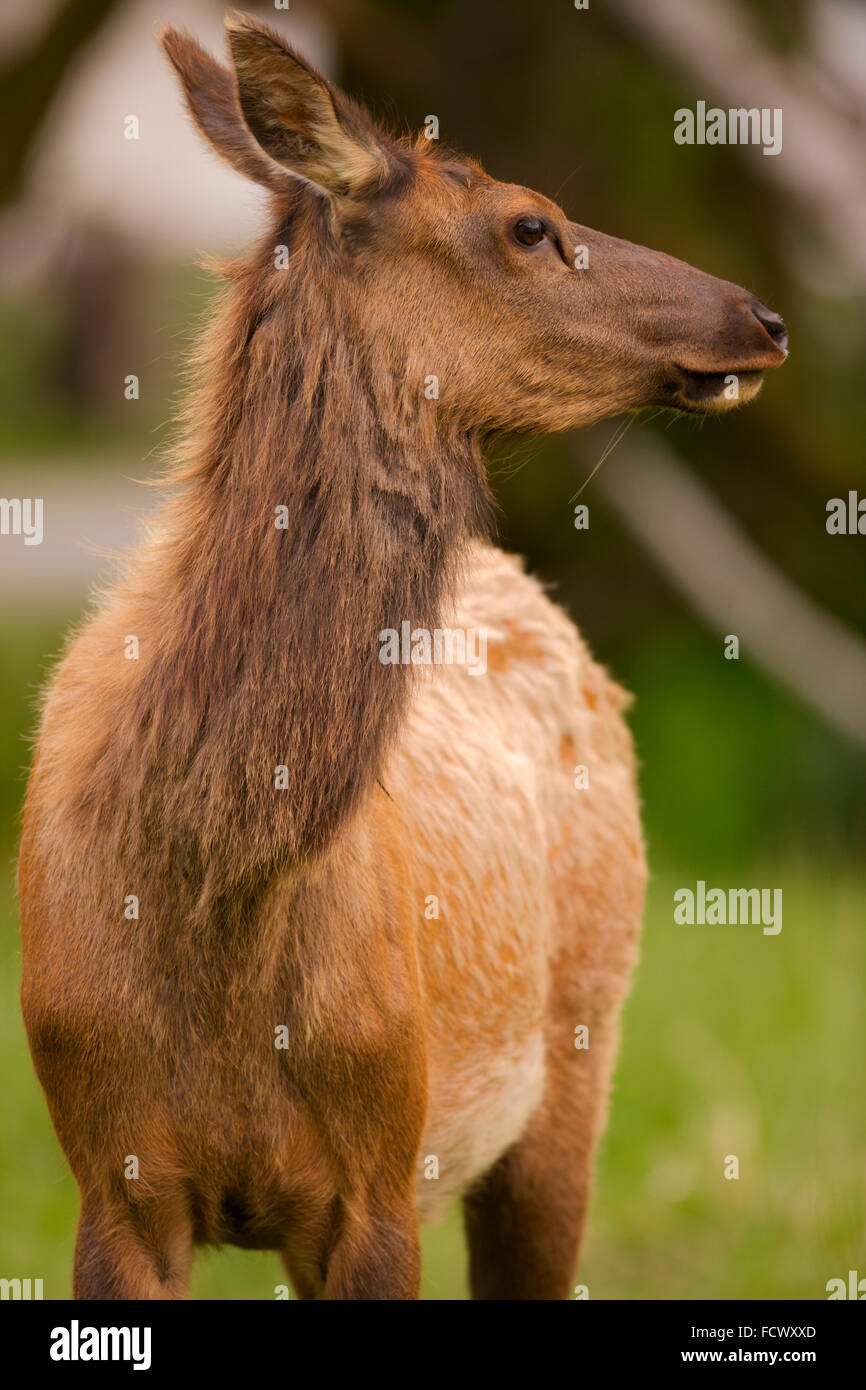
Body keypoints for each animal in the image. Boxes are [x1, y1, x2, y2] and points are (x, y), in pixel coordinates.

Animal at [17, 13, 787, 1301]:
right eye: (530, 224)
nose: (761, 319)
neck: (207, 894)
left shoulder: (381, 1175)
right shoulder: (110, 1182)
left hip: (573, 1068)